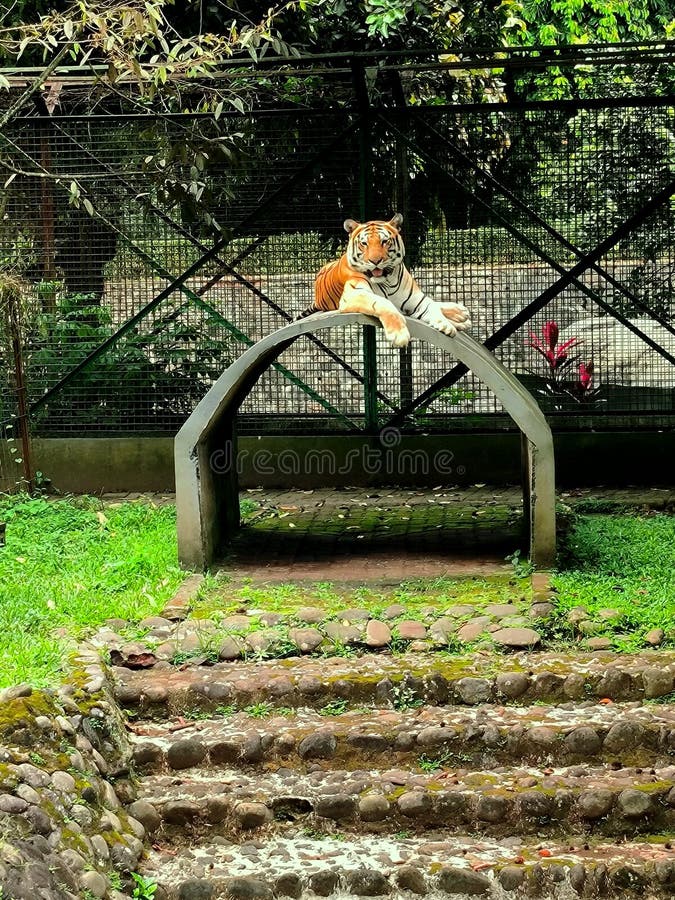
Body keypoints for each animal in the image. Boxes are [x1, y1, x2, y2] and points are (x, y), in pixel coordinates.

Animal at [297, 214, 471, 347]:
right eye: (364, 243)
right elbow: (383, 303)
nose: (375, 261)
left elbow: (432, 307)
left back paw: (460, 315)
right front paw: (399, 335)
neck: (388, 281)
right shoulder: (354, 294)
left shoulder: (417, 300)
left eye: (384, 241)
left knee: (434, 302)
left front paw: (445, 324)